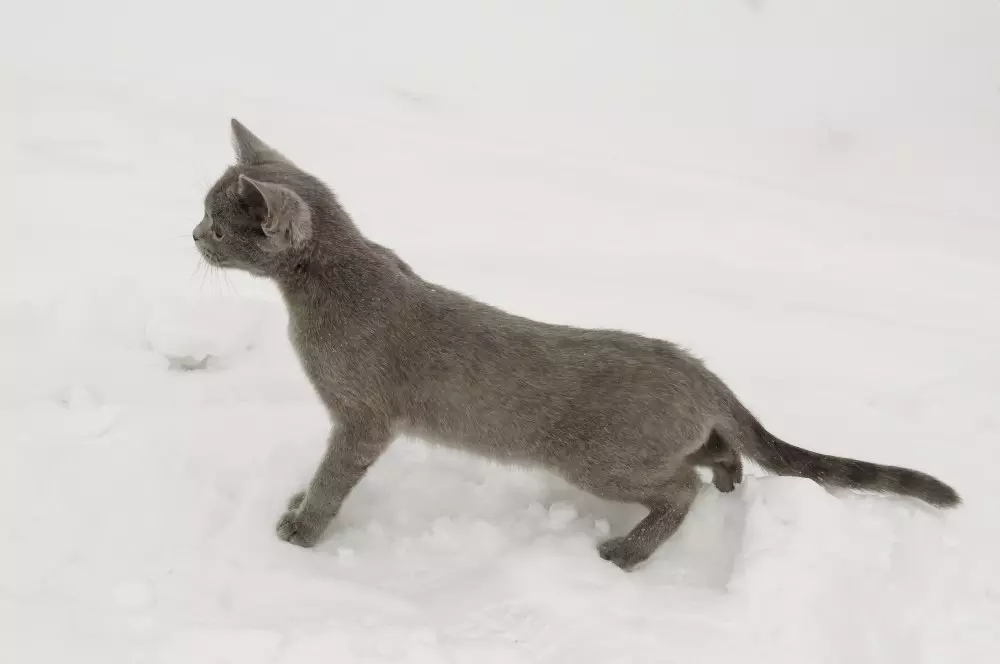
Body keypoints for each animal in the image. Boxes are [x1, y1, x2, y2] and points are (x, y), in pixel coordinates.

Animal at [193, 120, 960, 572]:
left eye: (220, 225)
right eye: (204, 213)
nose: (192, 234)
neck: (329, 284)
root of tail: (696, 368)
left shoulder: (362, 421)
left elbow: (333, 478)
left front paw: (302, 531)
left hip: (600, 461)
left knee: (678, 488)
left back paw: (627, 552)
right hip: (656, 442)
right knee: (720, 449)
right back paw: (728, 478)